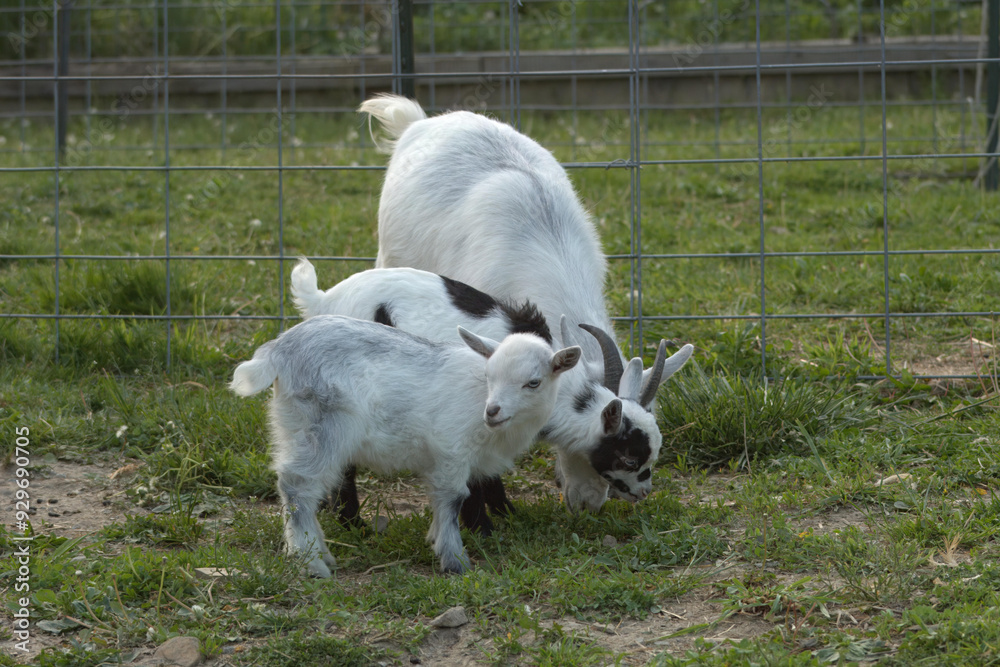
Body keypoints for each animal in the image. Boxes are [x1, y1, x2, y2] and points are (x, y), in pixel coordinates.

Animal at [231, 315, 581, 576]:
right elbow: (453, 499)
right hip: (323, 425)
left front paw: (436, 539)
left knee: (296, 484)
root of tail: (278, 350)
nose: (492, 411)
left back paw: (317, 553)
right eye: (488, 374)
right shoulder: (452, 449)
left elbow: (441, 502)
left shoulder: (443, 460)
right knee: (298, 484)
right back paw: (313, 564)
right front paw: (455, 561)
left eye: (533, 382)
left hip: (291, 426)